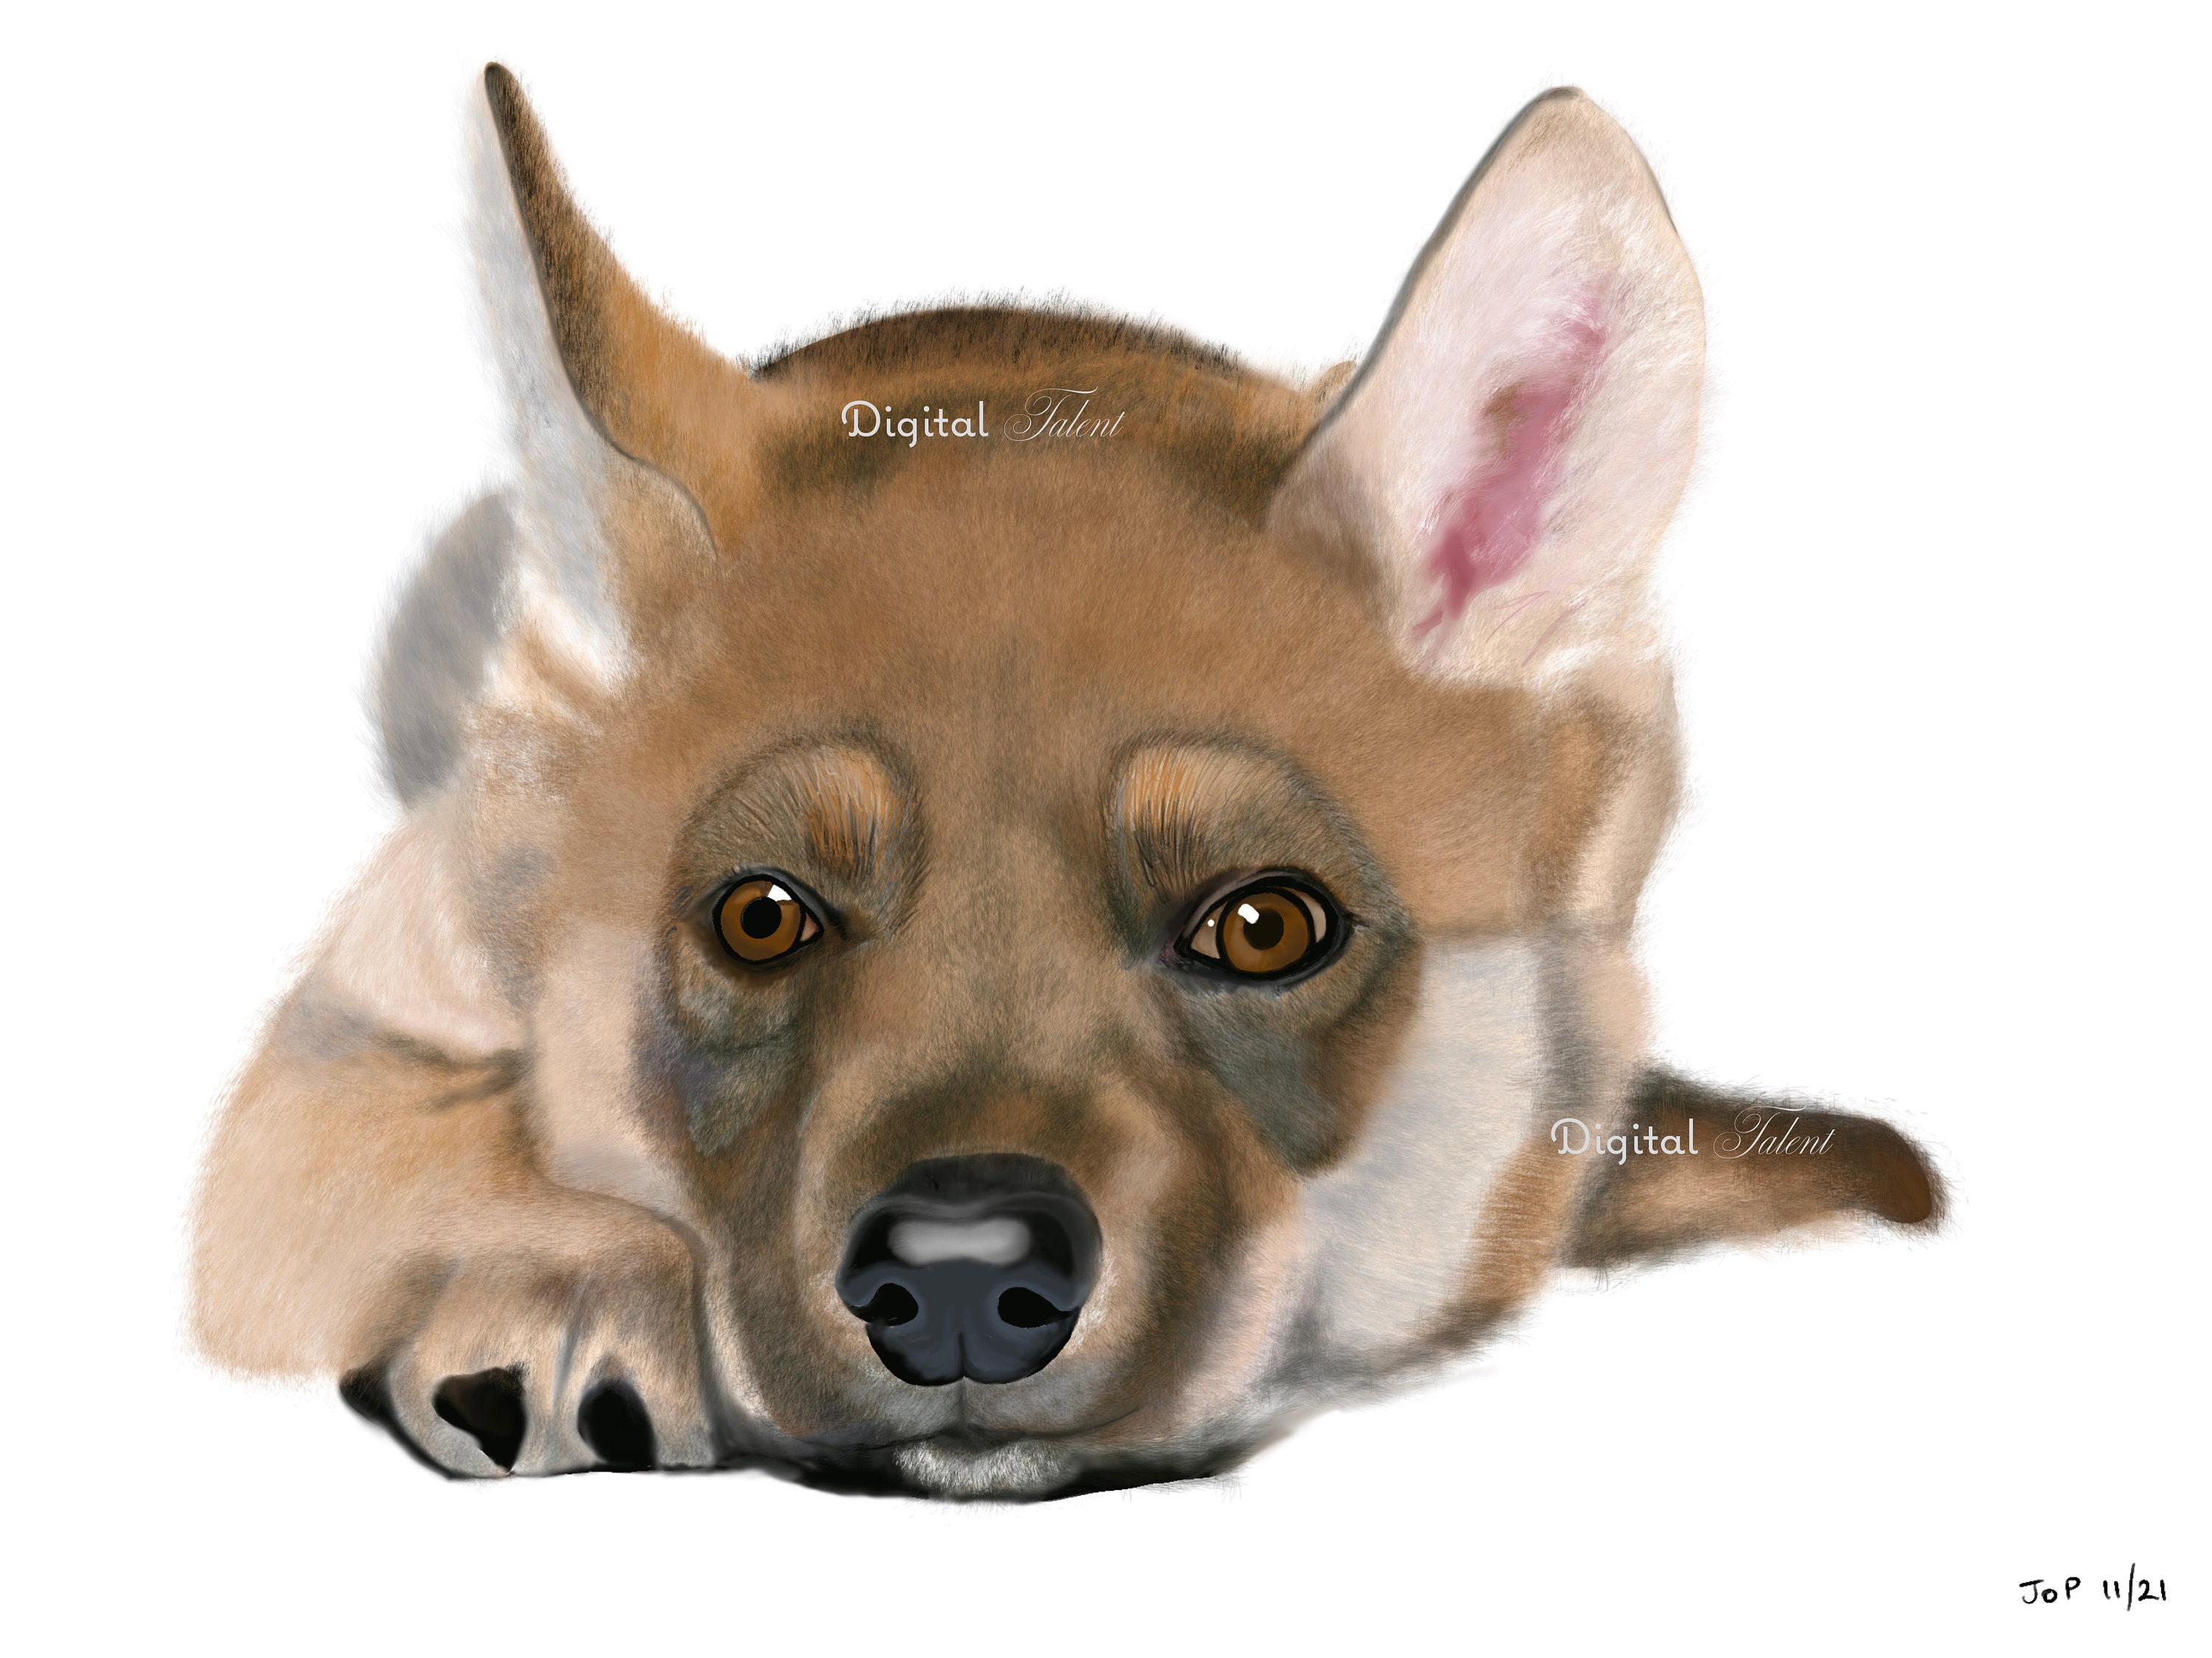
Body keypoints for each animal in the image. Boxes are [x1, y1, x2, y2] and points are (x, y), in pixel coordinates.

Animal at [190, 66, 1941, 1496]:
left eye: (1263, 924)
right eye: (762, 916)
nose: (960, 1276)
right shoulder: (326, 1063)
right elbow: (421, 1141)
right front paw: (568, 1280)